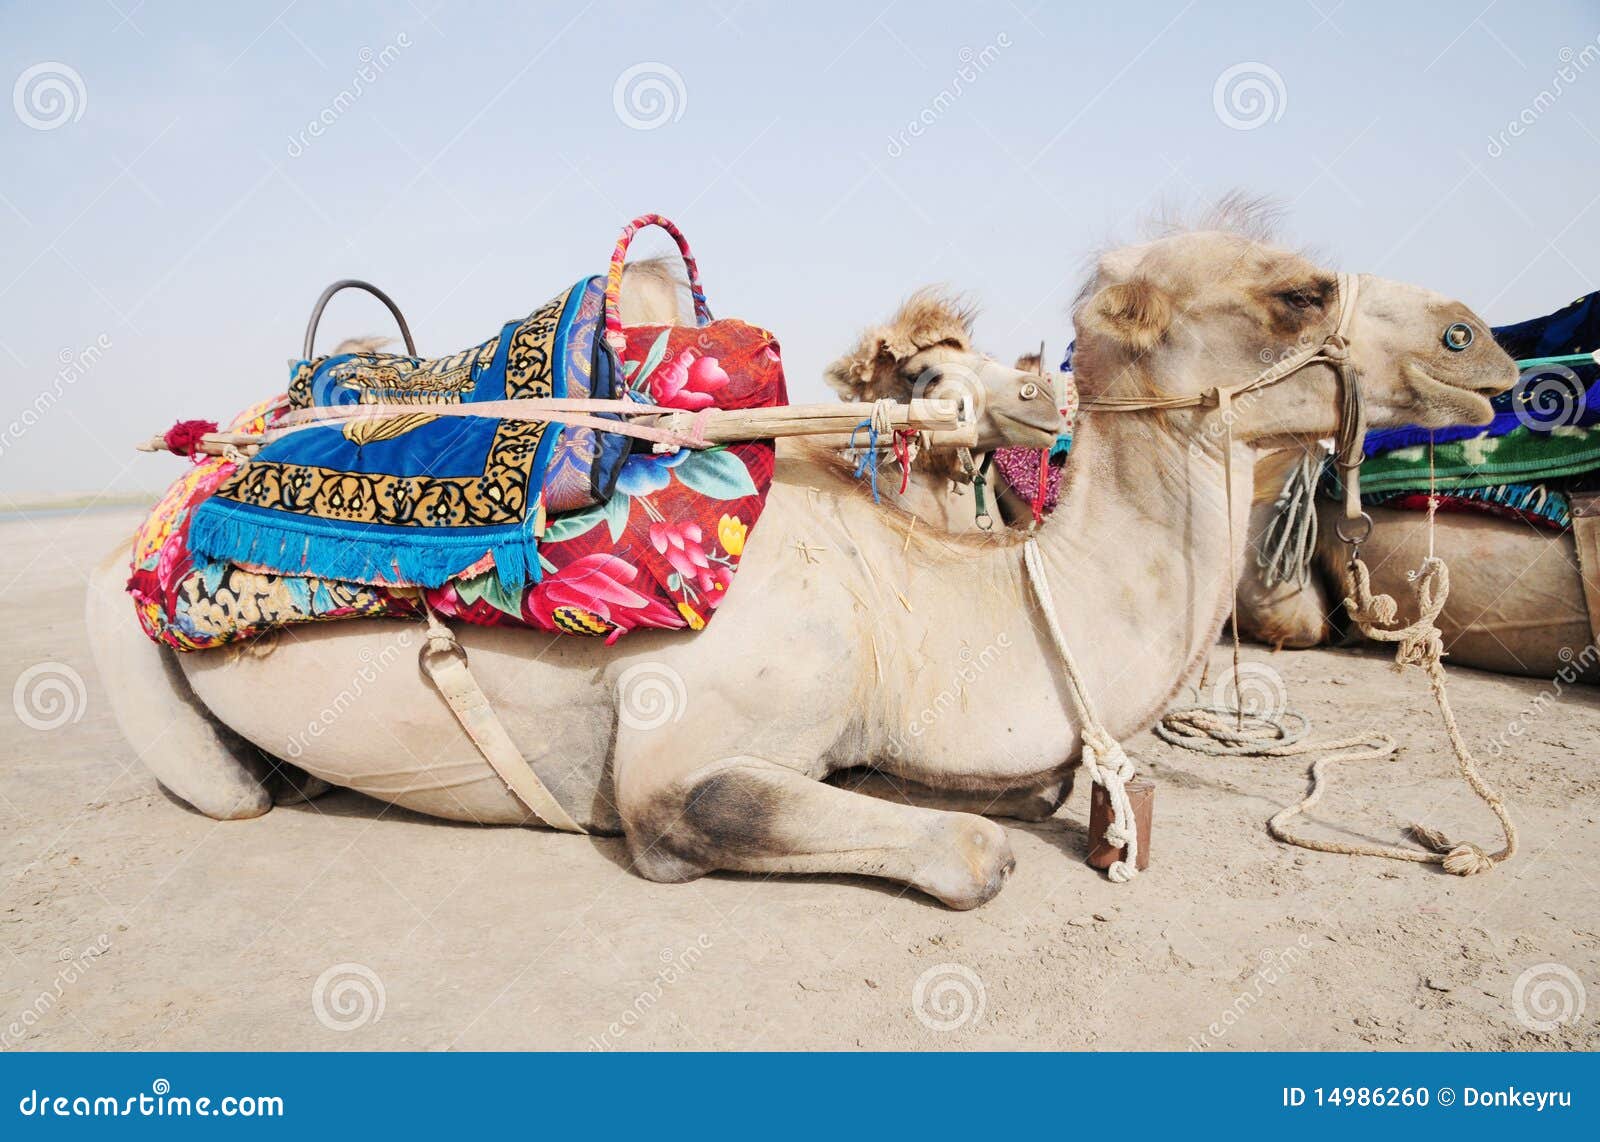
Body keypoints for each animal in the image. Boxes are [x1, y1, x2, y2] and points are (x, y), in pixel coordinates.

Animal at [87, 228, 1516, 908]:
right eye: (1298, 291)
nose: (1480, 341)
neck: (906, 600)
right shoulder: (676, 767)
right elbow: (967, 851)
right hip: (129, 654)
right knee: (230, 790)